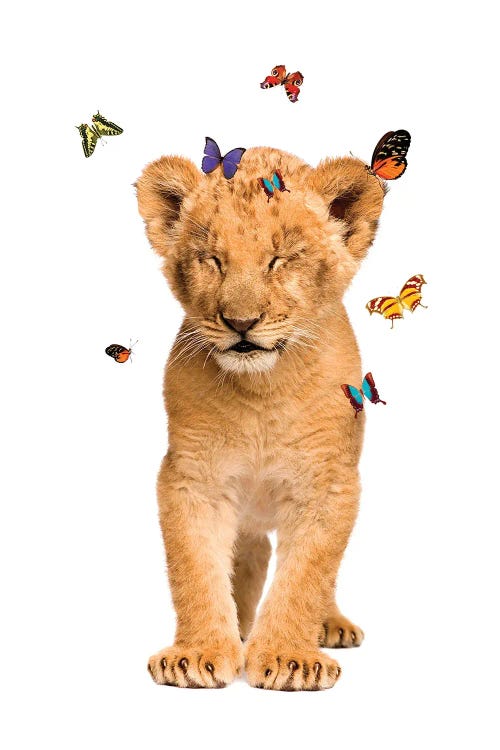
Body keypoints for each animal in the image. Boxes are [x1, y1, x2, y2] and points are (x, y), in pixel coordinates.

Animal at [136, 145, 384, 690]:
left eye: (280, 259)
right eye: (213, 260)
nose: (241, 323)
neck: (261, 395)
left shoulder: (330, 483)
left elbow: (308, 576)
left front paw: (291, 658)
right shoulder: (190, 478)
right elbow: (194, 570)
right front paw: (198, 654)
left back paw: (328, 625)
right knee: (250, 558)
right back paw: (242, 631)